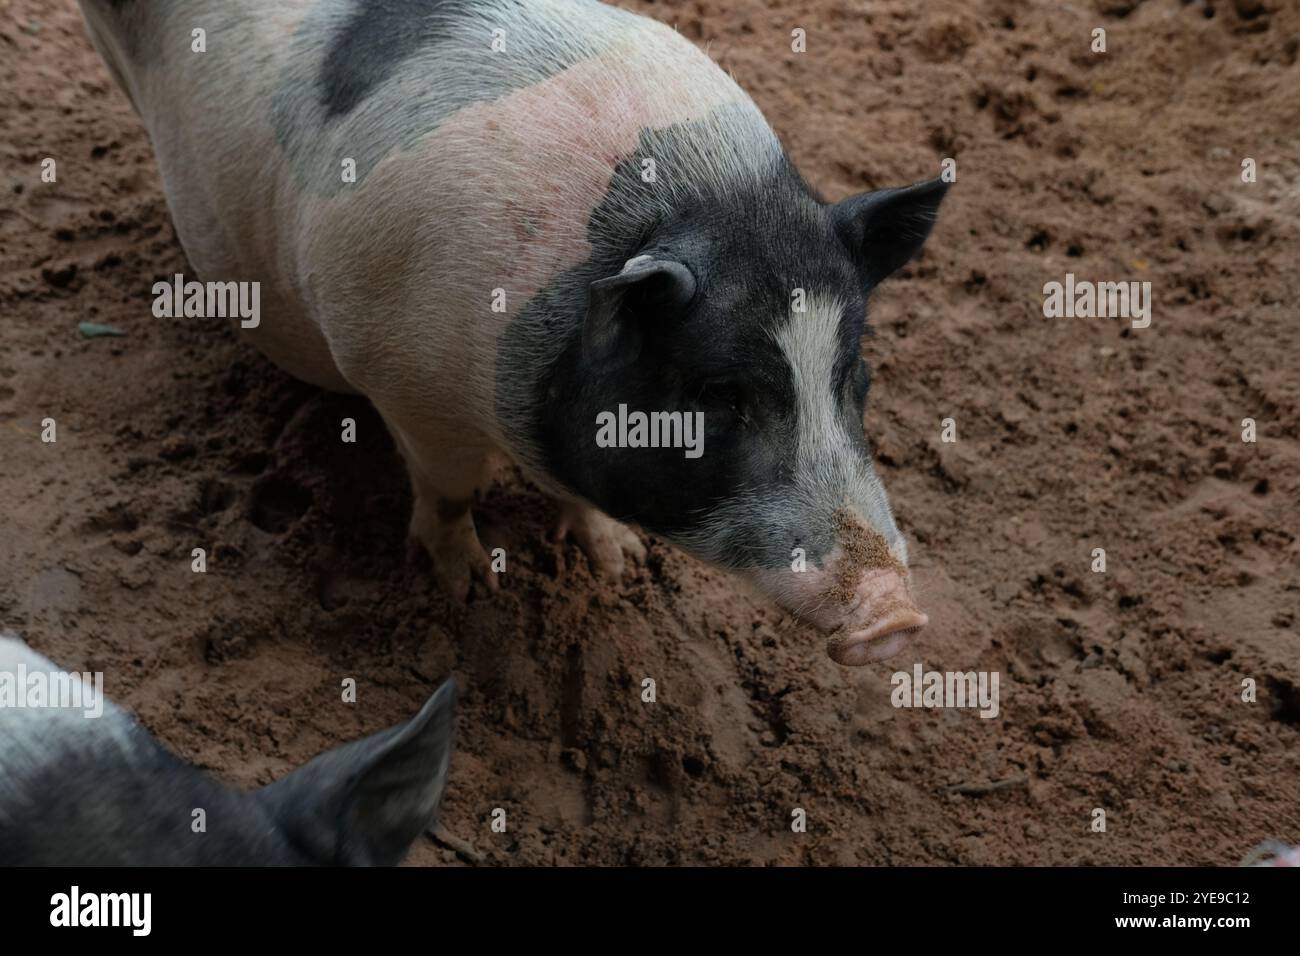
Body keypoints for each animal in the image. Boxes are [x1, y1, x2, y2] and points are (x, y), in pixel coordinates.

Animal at [77, 0, 949, 664]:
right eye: (718, 393)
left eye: (855, 375)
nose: (897, 618)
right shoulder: (402, 382)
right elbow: (450, 491)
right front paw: (468, 588)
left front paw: (618, 566)